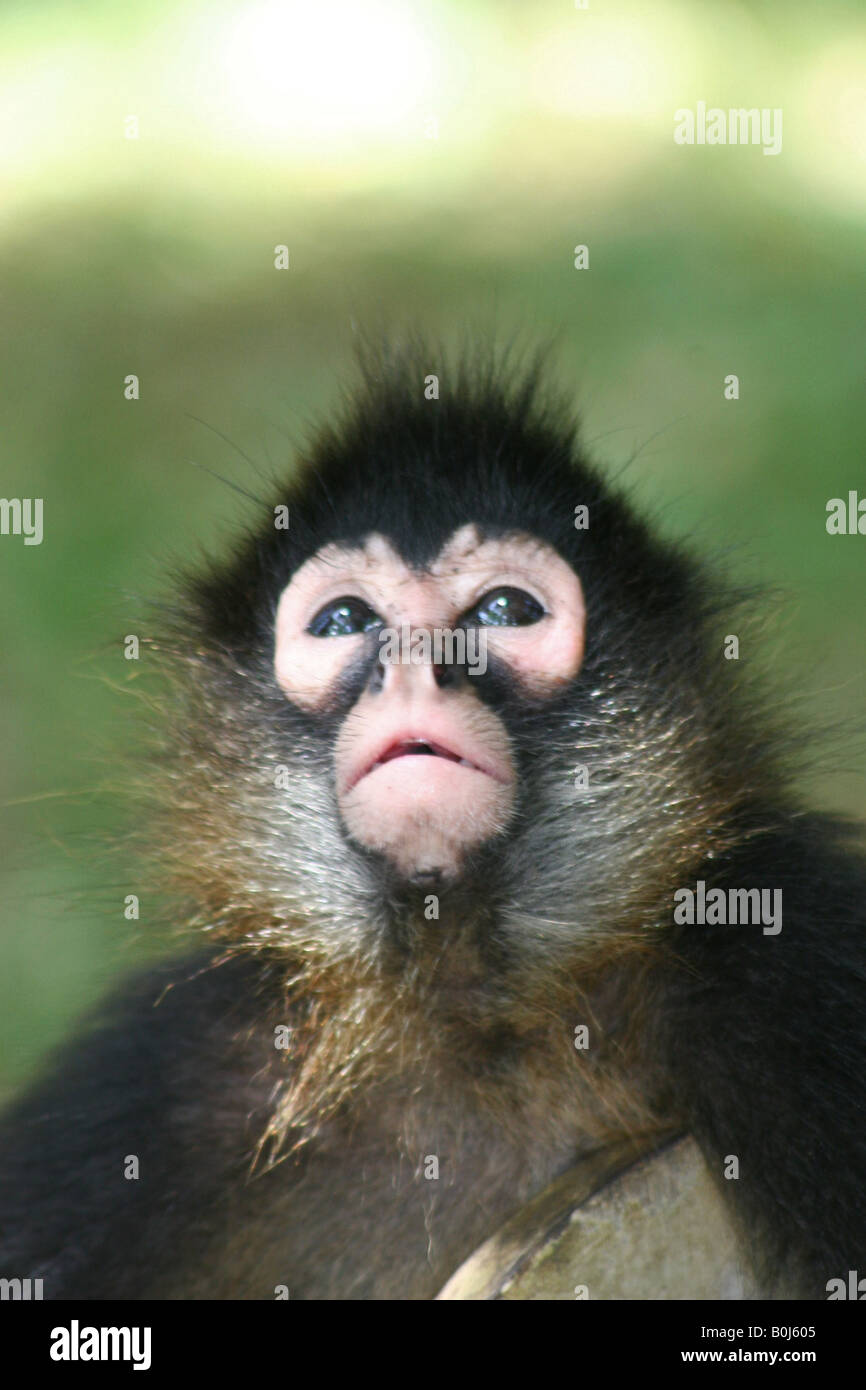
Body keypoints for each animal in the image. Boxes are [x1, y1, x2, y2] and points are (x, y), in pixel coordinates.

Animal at [0, 338, 864, 1301]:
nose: (418, 665)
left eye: (505, 611)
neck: (469, 1025)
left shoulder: (786, 962)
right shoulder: (180, 1073)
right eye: (346, 620)